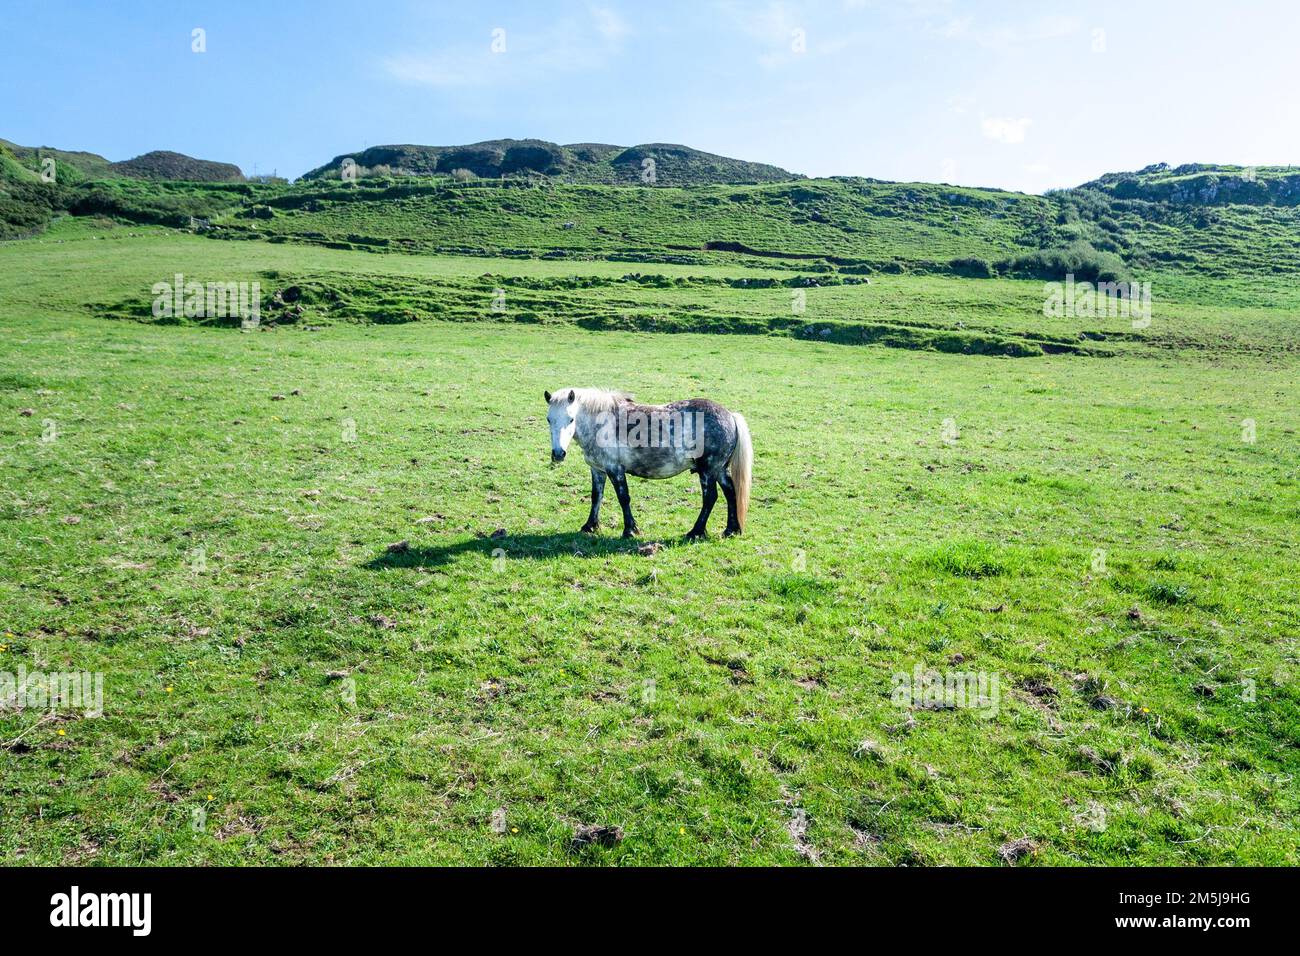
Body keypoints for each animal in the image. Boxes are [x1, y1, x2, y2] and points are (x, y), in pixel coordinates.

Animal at [544, 388, 753, 539]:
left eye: (571, 419)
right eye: (549, 420)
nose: (558, 454)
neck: (601, 424)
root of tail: (730, 416)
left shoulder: (615, 470)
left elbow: (623, 498)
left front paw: (630, 530)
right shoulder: (598, 470)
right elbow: (596, 497)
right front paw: (590, 526)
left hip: (708, 471)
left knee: (710, 498)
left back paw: (695, 532)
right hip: (719, 470)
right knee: (731, 492)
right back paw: (731, 530)